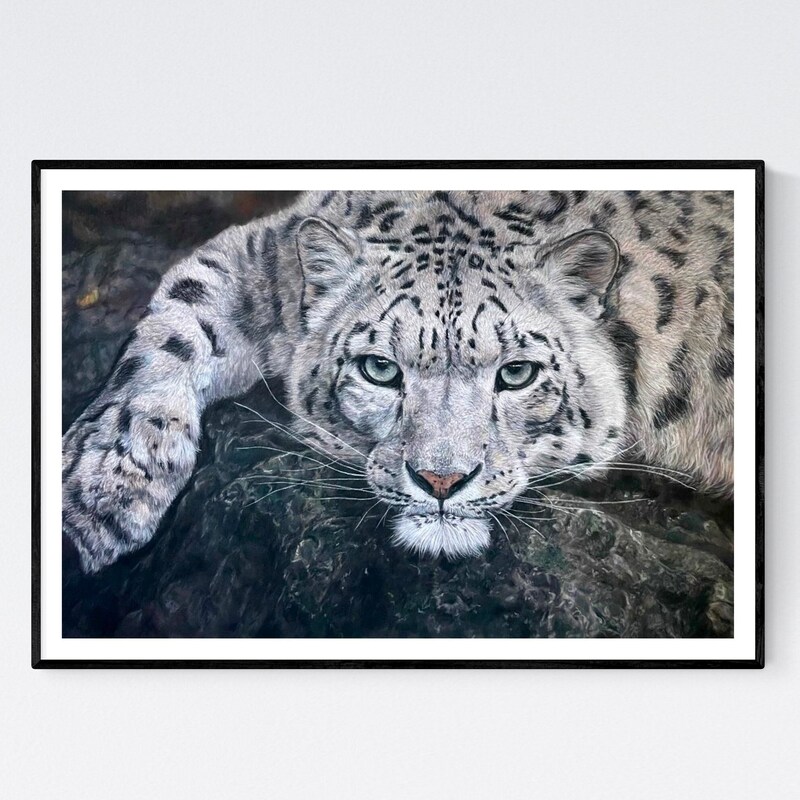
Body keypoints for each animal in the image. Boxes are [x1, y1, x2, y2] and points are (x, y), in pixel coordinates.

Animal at [62, 189, 734, 574]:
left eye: (516, 373)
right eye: (380, 369)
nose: (441, 481)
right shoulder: (265, 248)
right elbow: (179, 314)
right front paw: (104, 489)